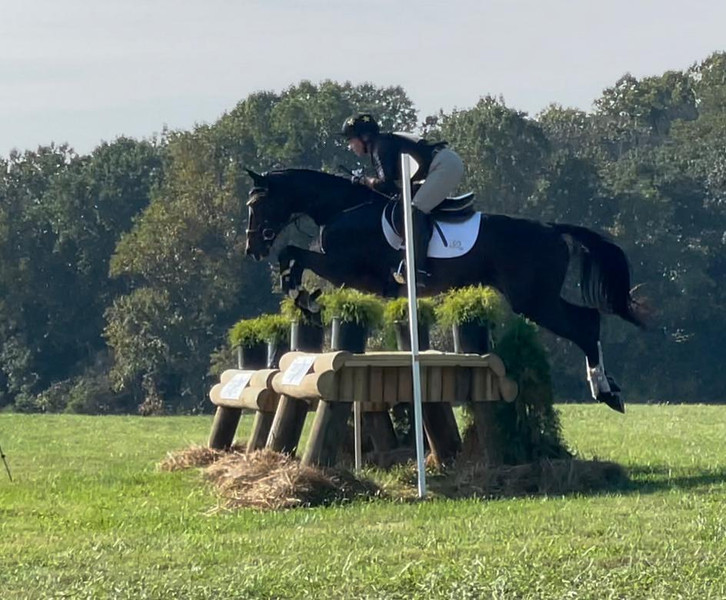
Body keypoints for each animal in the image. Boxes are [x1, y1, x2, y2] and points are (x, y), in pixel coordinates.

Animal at [243, 168, 646, 412]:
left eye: (257, 205)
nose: (252, 249)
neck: (343, 208)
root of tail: (550, 228)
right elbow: (292, 257)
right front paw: (304, 297)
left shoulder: (345, 268)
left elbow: (293, 253)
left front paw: (302, 297)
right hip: (538, 298)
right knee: (587, 321)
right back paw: (609, 389)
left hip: (533, 299)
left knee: (586, 324)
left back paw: (605, 391)